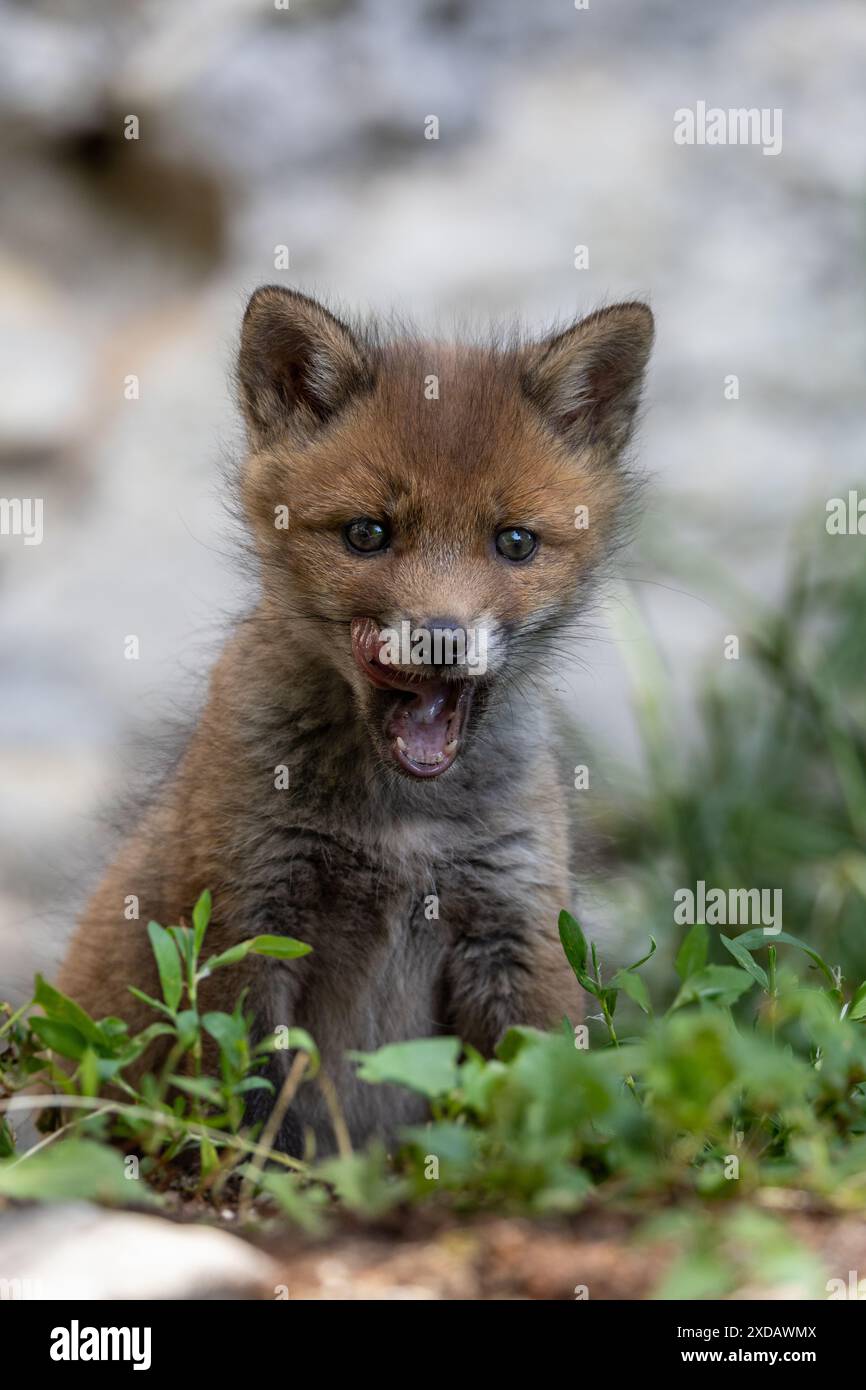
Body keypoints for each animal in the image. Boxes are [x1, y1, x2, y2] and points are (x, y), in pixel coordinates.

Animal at [58, 286, 654, 1156]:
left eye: (514, 542)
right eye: (368, 533)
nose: (441, 638)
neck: (401, 830)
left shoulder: (515, 928)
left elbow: (538, 1095)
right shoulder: (244, 924)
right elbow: (253, 1109)